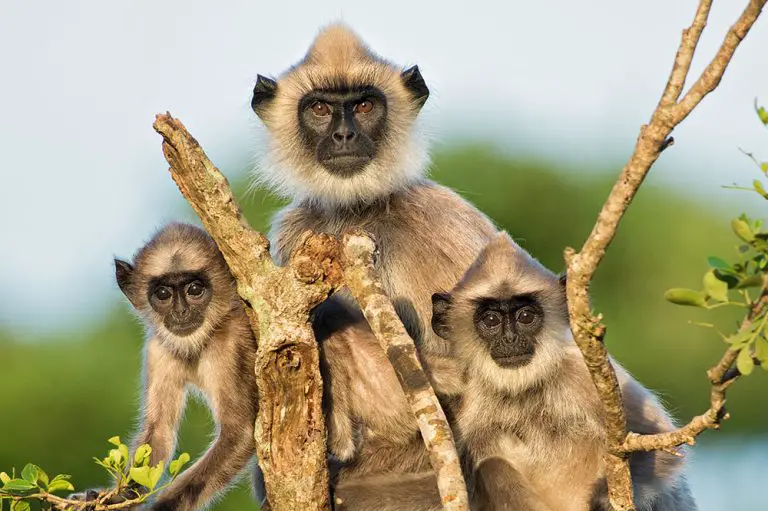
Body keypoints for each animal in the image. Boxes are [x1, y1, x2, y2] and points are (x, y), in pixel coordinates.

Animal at [73, 223, 262, 510]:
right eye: (163, 294)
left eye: (194, 290)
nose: (181, 312)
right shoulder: (157, 349)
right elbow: (158, 434)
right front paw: (115, 498)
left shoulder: (232, 342)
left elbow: (239, 431)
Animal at [430, 231, 697, 510]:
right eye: (491, 320)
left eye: (526, 317)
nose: (511, 339)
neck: (523, 389)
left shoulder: (580, 373)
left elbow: (656, 441)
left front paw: (603, 501)